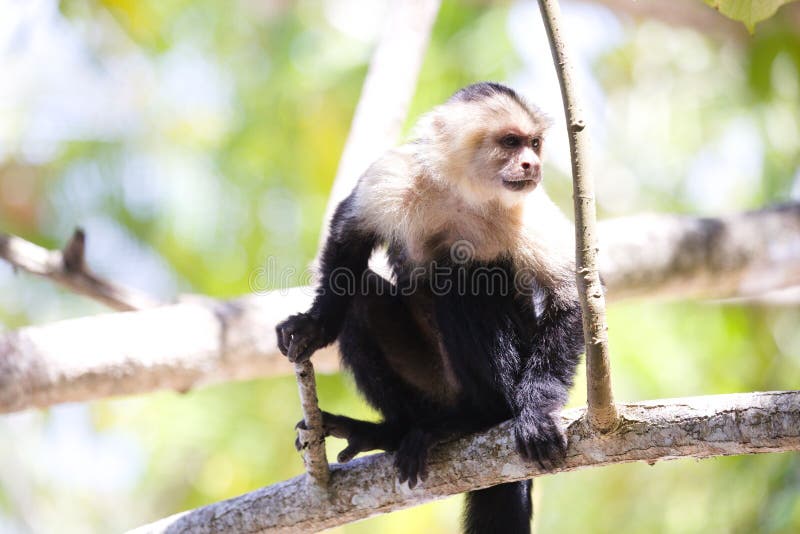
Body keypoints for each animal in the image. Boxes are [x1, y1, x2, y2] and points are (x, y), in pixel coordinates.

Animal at [276, 82, 584, 534]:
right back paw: (394, 431)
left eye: (535, 143)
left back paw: (478, 419)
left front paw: (537, 410)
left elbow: (569, 298)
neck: (460, 192)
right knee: (362, 296)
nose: (531, 163)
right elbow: (349, 239)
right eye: (511, 142)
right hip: (430, 389)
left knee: (464, 278)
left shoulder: (527, 209)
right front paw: (315, 325)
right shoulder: (394, 174)